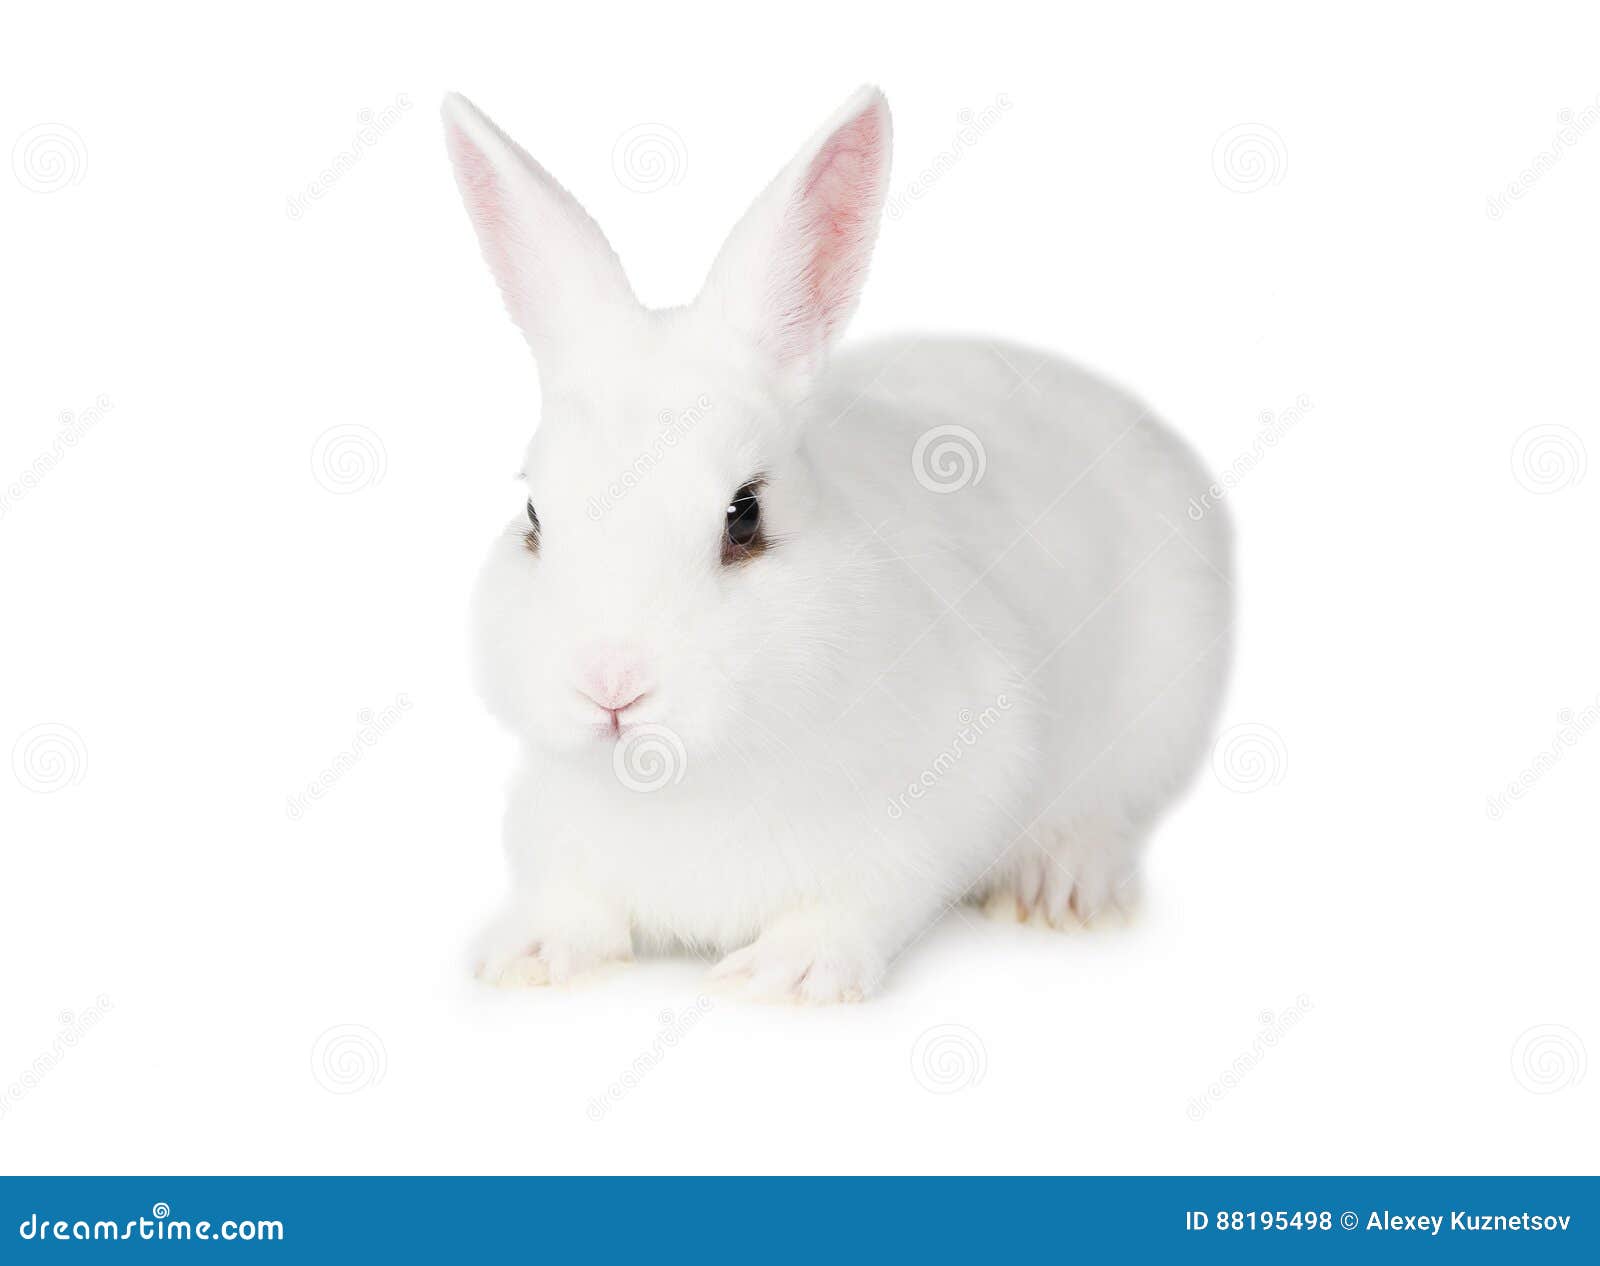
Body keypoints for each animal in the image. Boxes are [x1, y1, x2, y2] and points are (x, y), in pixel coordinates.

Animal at [442, 85, 1232, 1003]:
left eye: (744, 515)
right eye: (535, 516)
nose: (612, 686)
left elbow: (859, 899)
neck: (685, 783)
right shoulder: (550, 819)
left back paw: (1063, 888)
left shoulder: (933, 807)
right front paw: (526, 955)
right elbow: (568, 897)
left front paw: (783, 975)